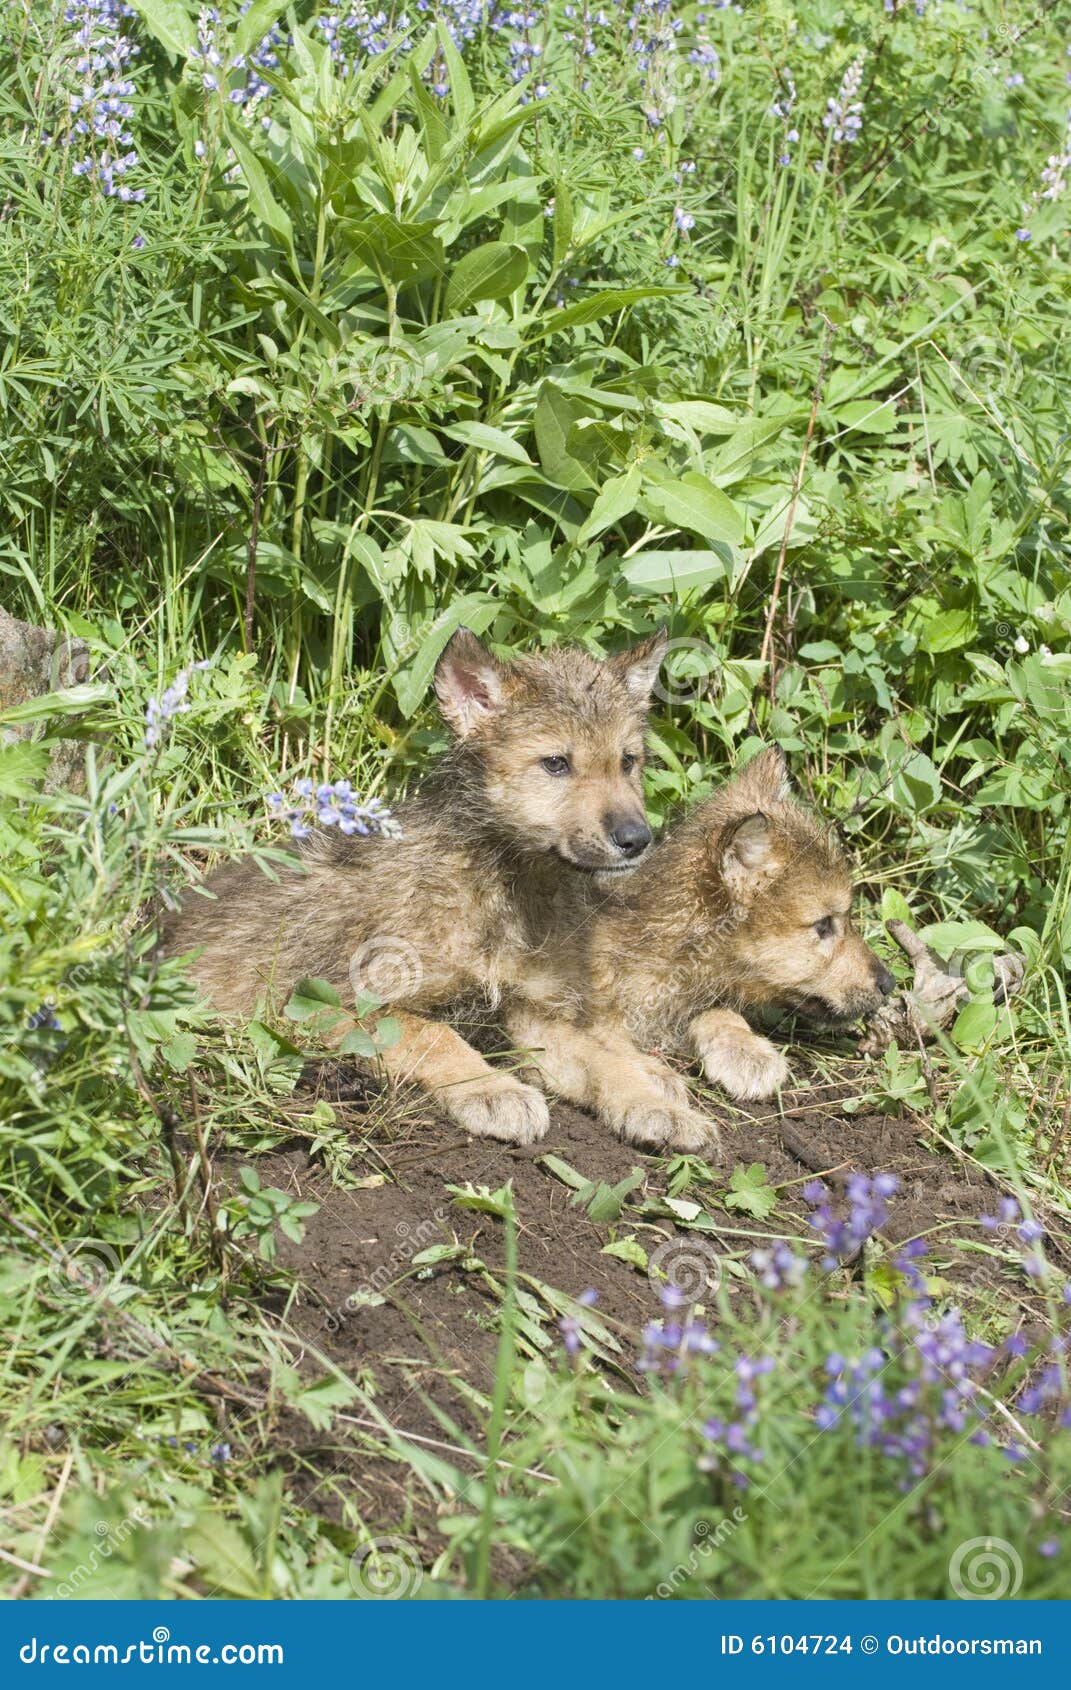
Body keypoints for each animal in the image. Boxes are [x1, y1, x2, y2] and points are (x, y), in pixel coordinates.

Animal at [161, 626, 709, 1148]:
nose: (637, 839)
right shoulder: (332, 1004)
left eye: (627, 762)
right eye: (556, 763)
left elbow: (601, 1062)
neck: (504, 886)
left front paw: (653, 1107)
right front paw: (494, 1091)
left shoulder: (532, 1017)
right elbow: (439, 1035)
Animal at [509, 747, 895, 1127]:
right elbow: (602, 1047)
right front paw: (653, 1077)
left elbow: (720, 1012)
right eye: (824, 925)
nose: (889, 983)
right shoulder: (541, 1015)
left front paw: (747, 1053)